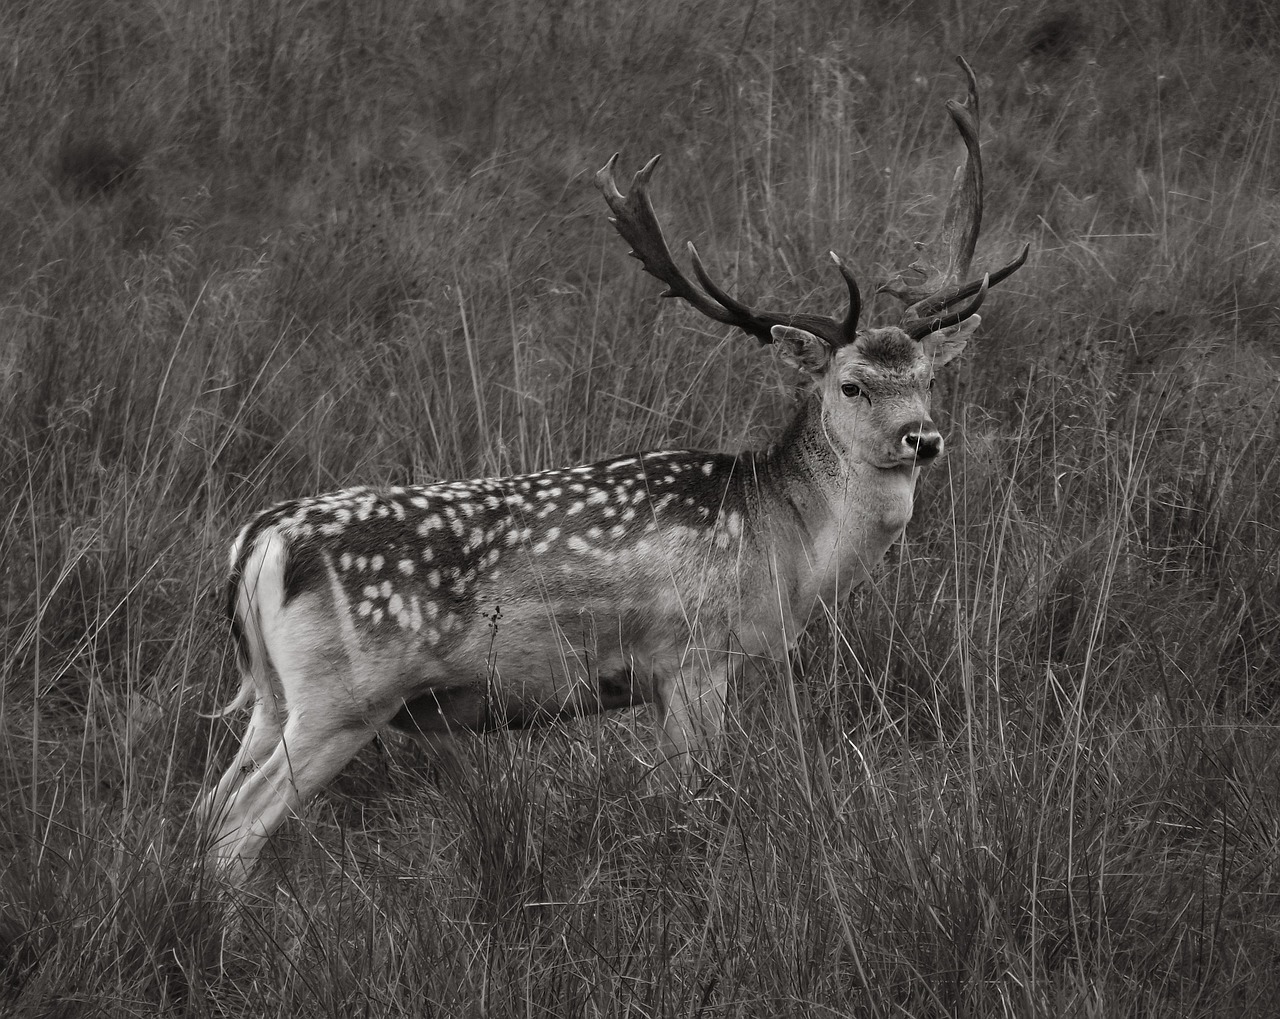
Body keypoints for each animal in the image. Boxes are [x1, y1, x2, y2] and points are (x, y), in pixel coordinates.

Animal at [196, 58, 1028, 872]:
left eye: (927, 377)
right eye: (851, 384)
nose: (922, 438)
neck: (783, 543)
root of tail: (259, 545)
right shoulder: (693, 655)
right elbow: (694, 799)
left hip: (273, 694)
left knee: (207, 804)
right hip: (344, 694)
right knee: (236, 822)